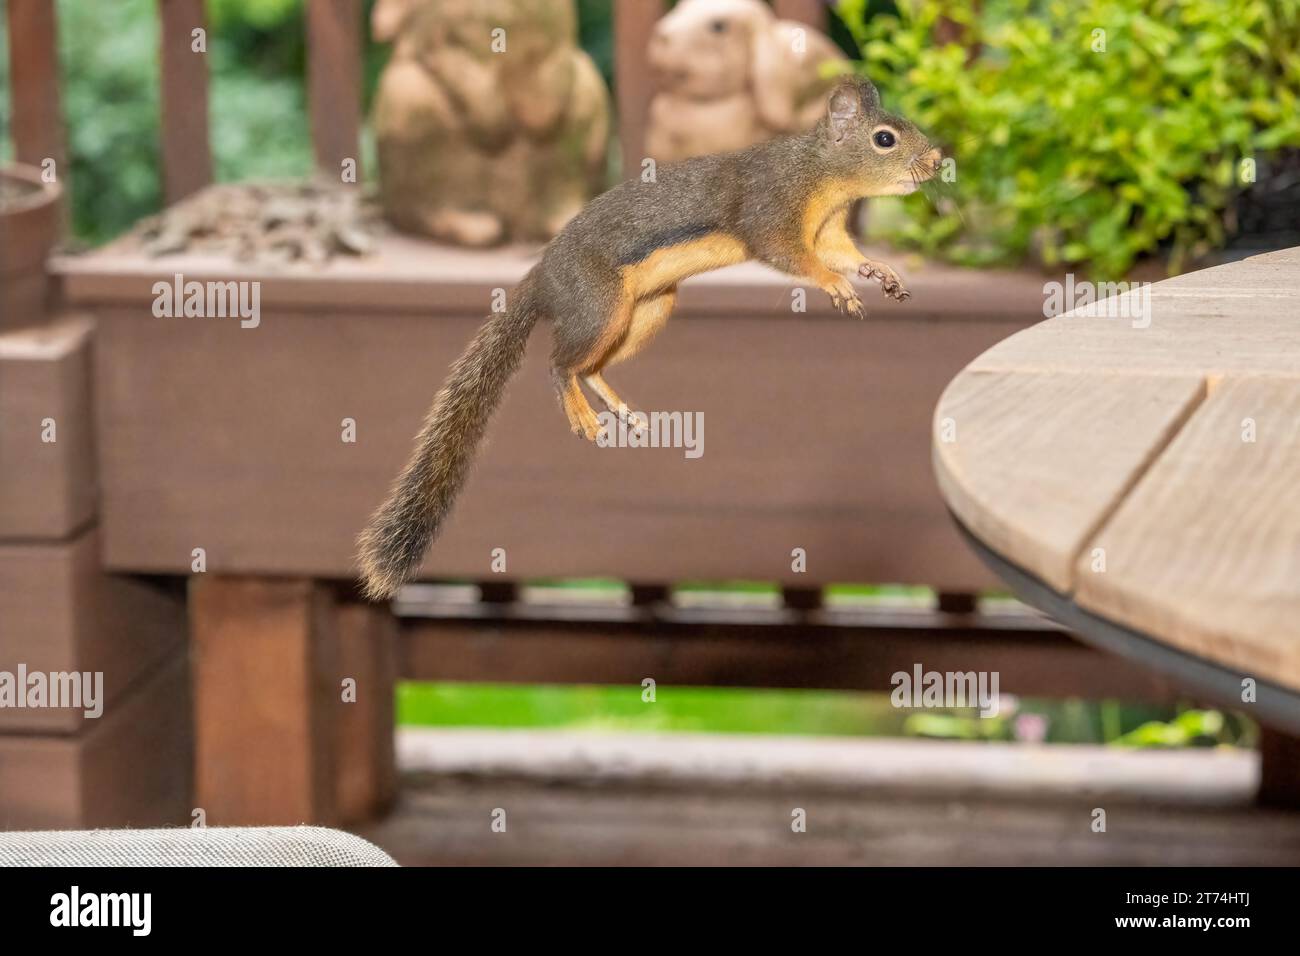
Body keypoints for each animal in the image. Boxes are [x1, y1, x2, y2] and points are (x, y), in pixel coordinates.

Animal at [358, 76, 941, 600]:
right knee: (561, 364)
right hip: (600, 306)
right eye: (885, 138)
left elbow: (844, 253)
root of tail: (543, 277)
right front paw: (834, 284)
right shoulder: (772, 207)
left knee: (591, 367)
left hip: (648, 311)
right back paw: (582, 415)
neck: (821, 171)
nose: (937, 160)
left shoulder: (830, 230)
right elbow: (790, 254)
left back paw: (621, 409)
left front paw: (880, 271)